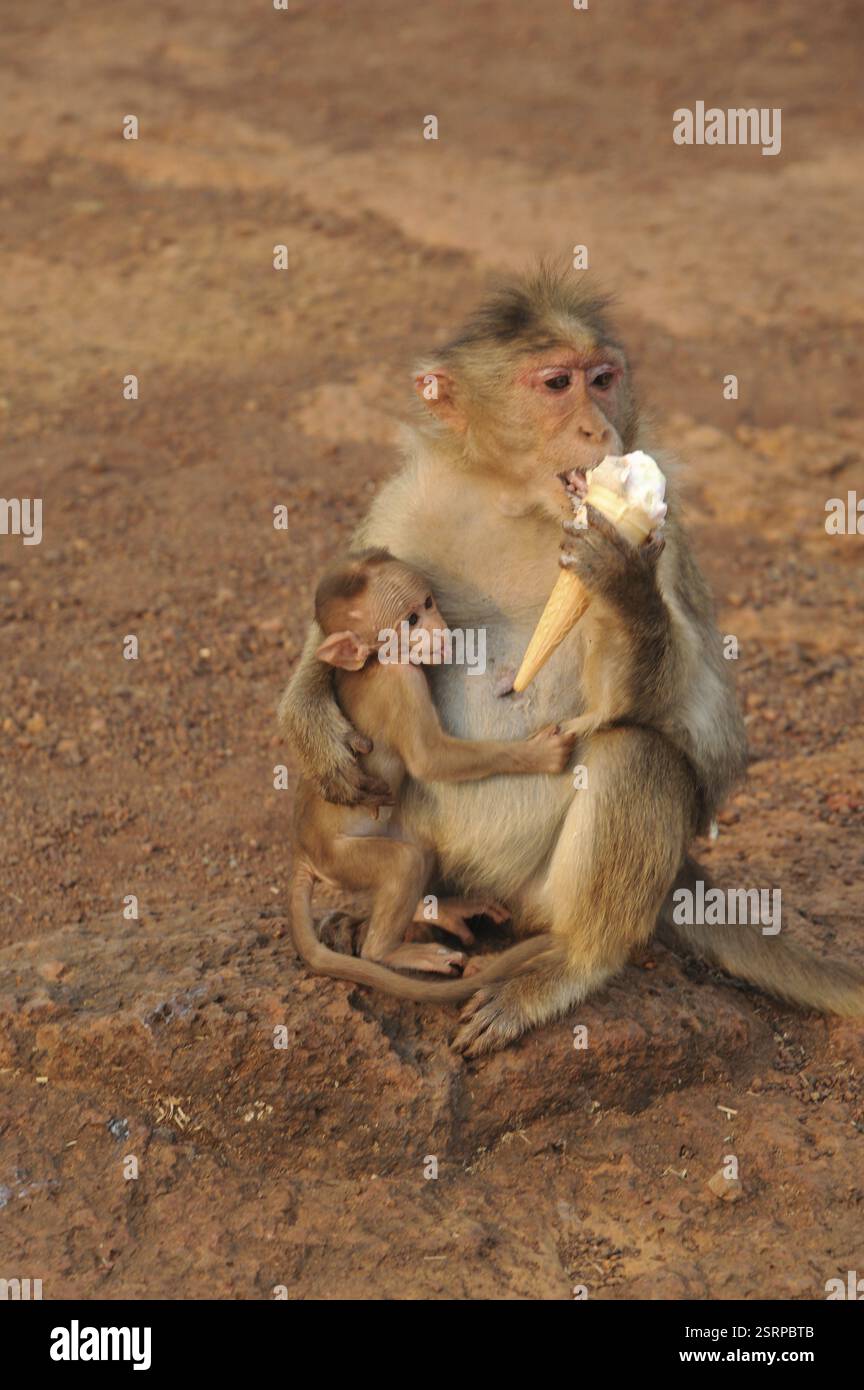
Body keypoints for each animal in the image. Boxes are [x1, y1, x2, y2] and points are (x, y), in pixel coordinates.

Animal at [290, 546, 578, 999]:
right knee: (403, 864)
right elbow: (430, 759)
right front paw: (538, 754)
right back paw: (389, 951)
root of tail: (303, 850)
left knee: (420, 850)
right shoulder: (402, 683)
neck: (376, 661)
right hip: (340, 859)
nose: (440, 631)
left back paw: (437, 912)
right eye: (409, 620)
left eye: (427, 603)